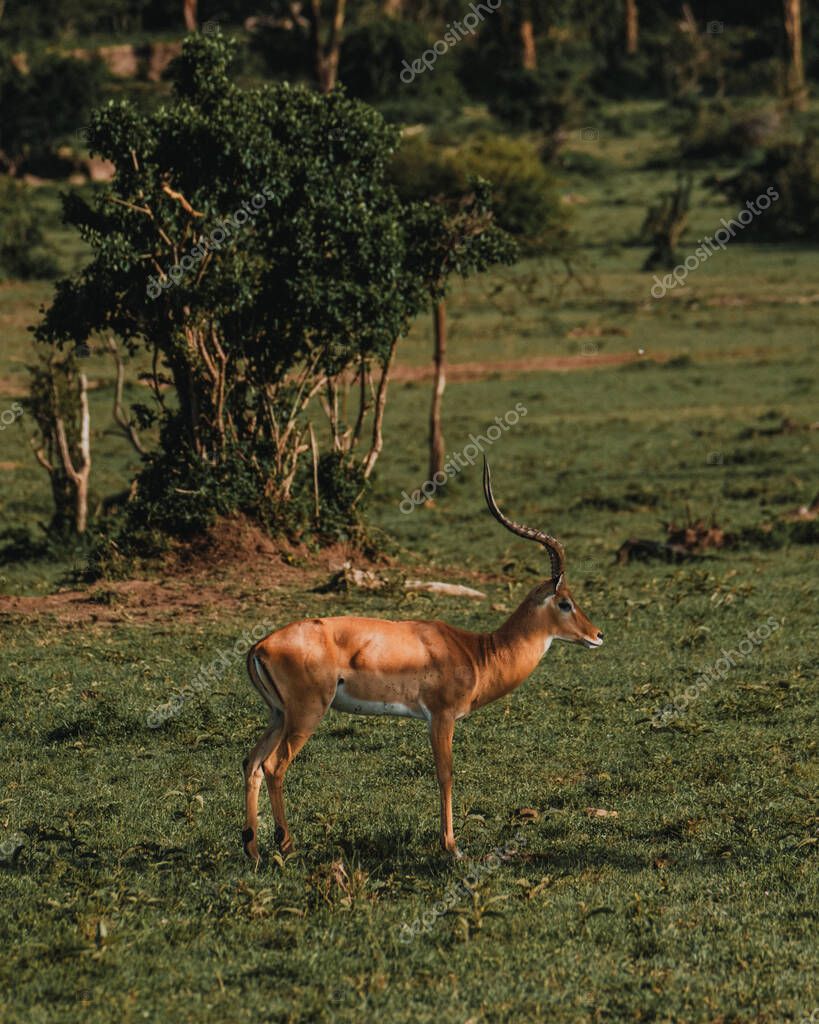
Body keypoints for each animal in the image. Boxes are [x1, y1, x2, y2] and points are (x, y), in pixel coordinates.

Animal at [242, 458, 603, 861]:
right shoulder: (441, 717)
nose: (597, 635)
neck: (477, 651)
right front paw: (452, 846)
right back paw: (285, 845)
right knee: (274, 766)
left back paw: (253, 849)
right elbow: (446, 774)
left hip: (278, 714)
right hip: (306, 714)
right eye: (565, 602)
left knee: (251, 762)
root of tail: (259, 646)